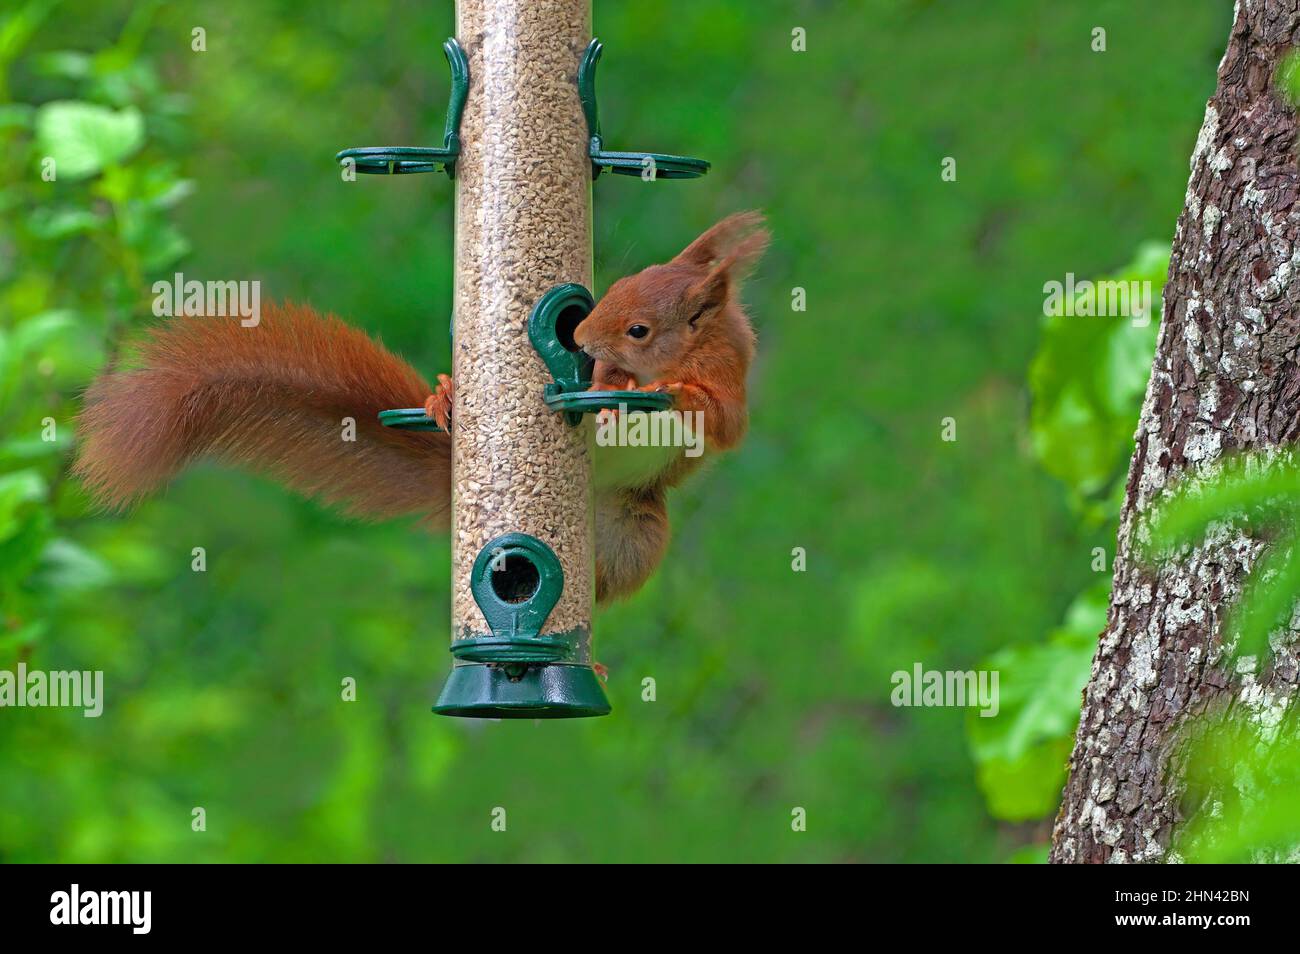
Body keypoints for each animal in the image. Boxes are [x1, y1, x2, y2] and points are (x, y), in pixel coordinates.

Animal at [74, 211, 769, 603]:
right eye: (617, 286)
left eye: (639, 328)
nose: (579, 336)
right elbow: (607, 381)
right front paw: (602, 393)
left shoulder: (732, 388)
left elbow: (721, 420)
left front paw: (661, 395)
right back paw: (449, 400)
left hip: (634, 532)